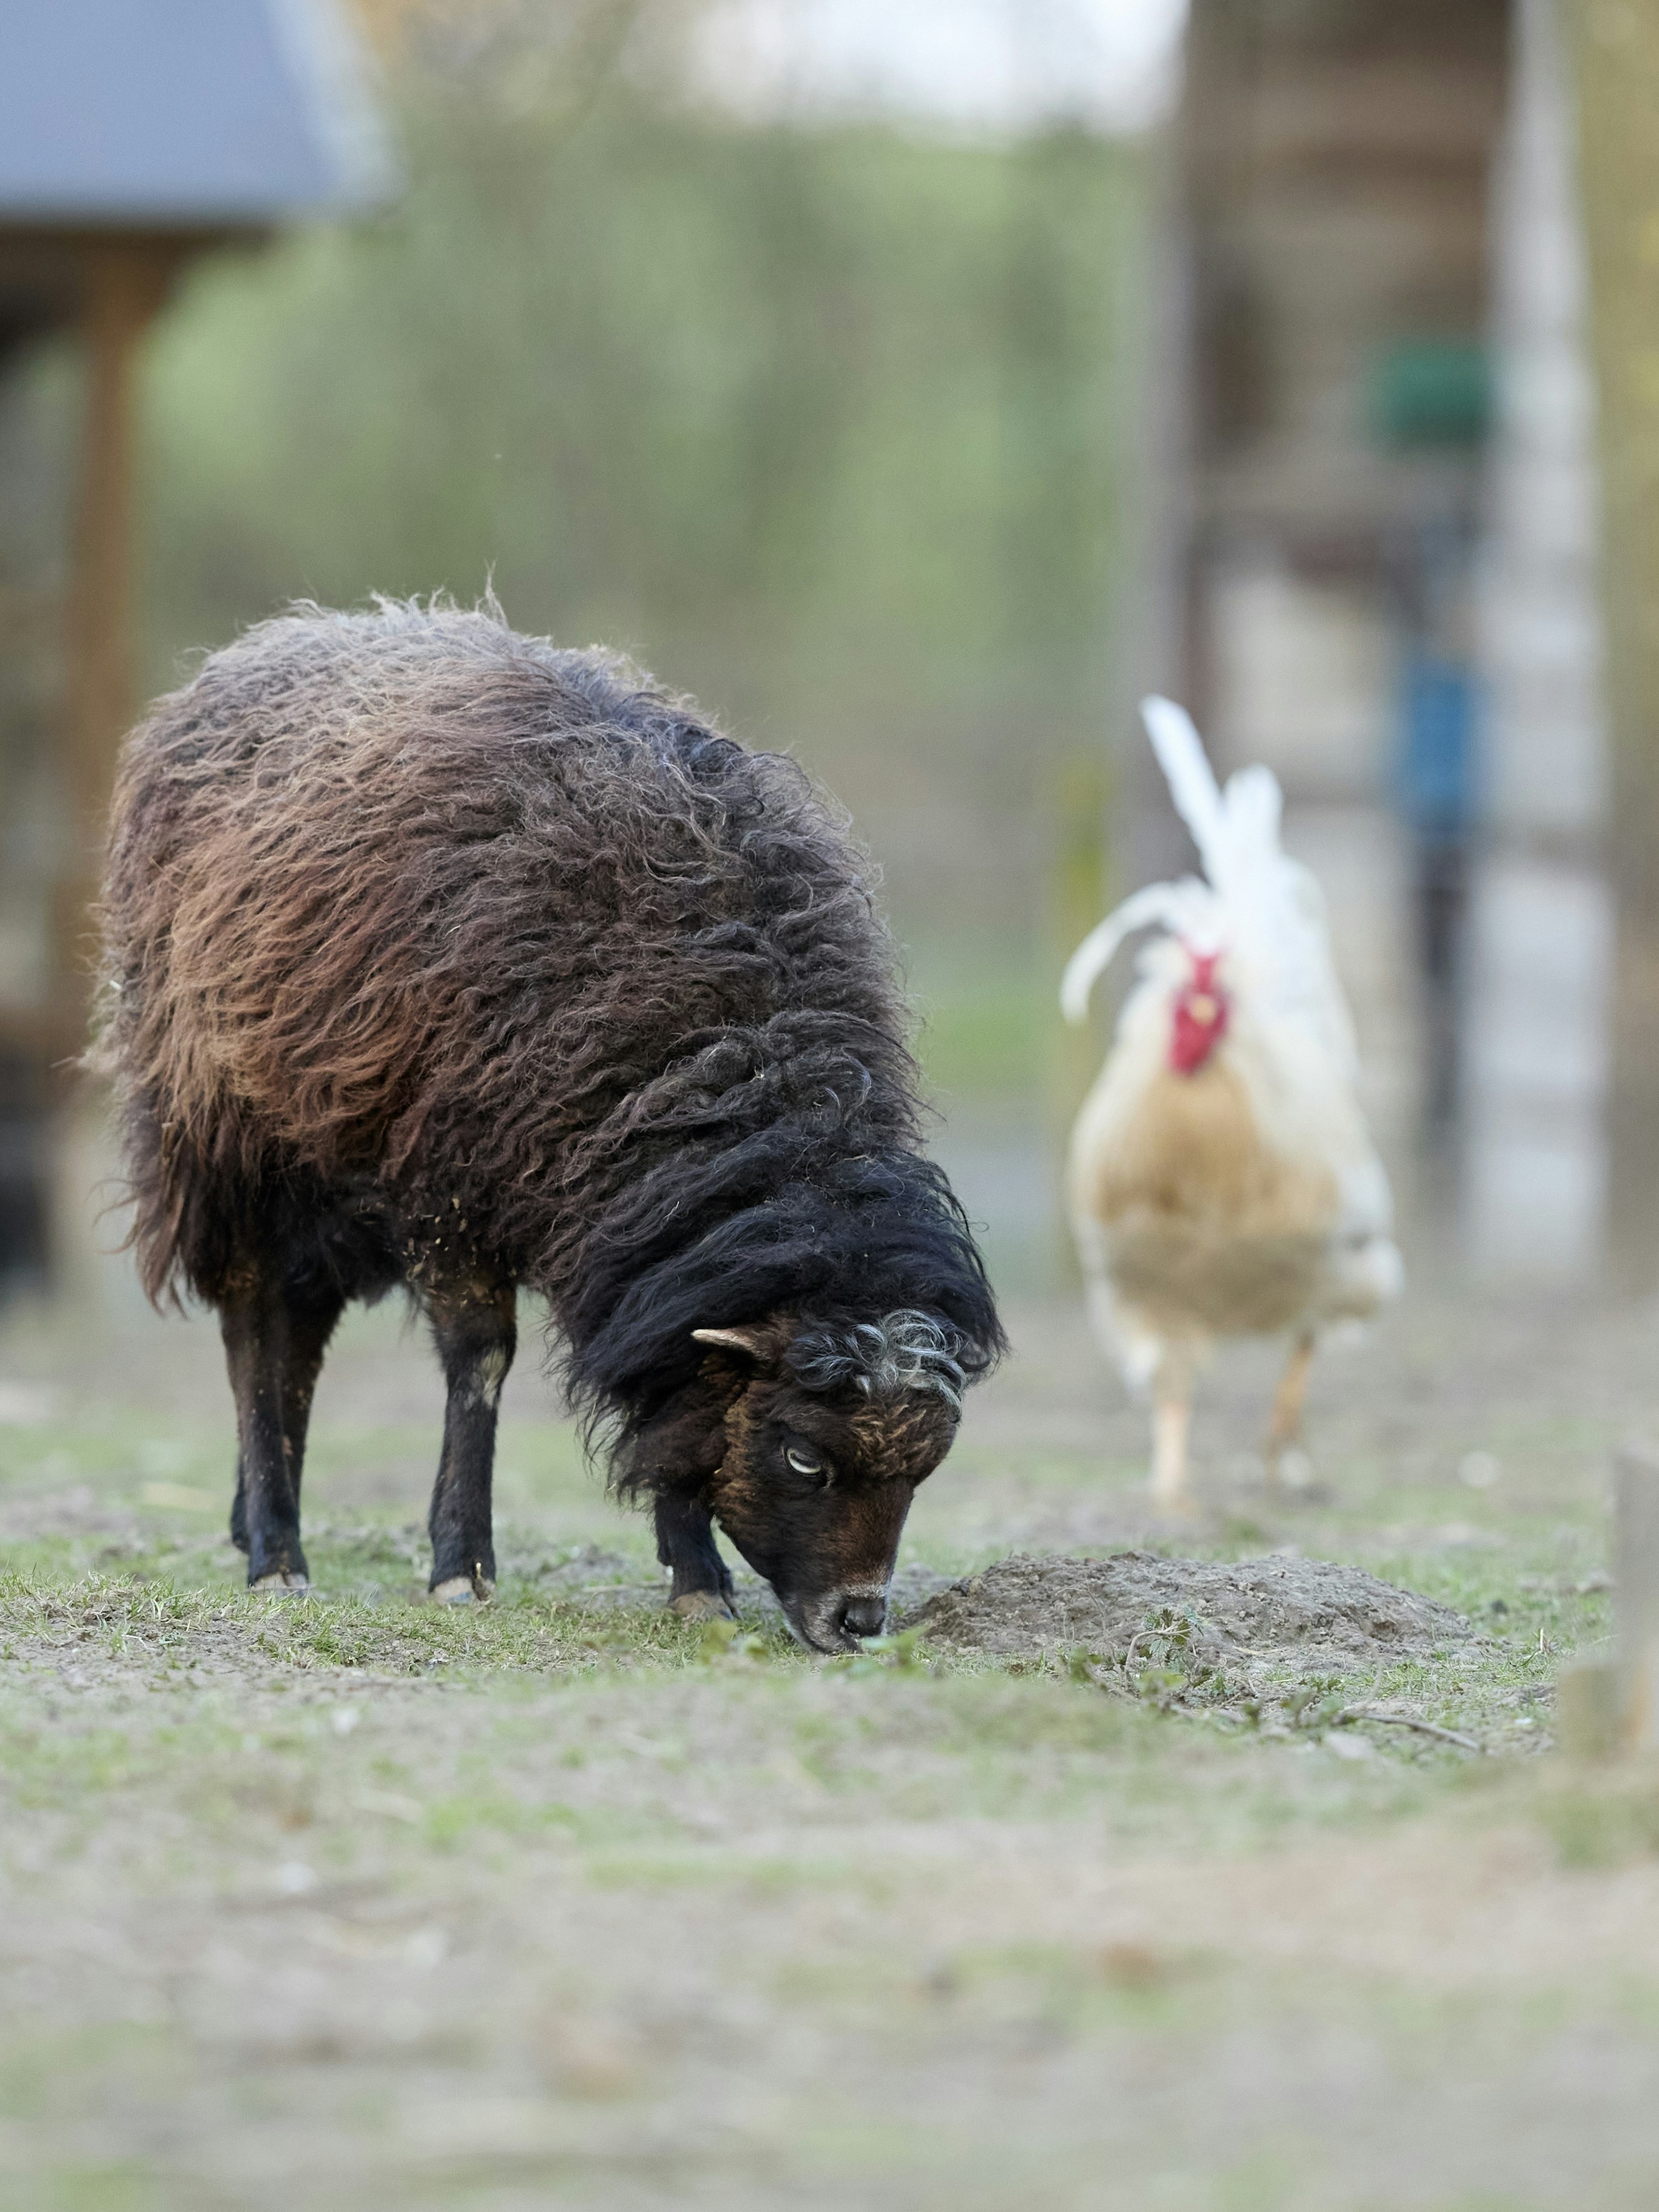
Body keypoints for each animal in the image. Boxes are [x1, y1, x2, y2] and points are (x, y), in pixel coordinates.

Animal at [95, 599, 1003, 1651]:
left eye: (925, 1469)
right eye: (803, 1457)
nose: (857, 1621)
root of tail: (284, 635)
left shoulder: (650, 1259)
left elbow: (675, 1407)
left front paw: (697, 1581)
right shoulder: (451, 1183)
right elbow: (482, 1365)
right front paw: (460, 1568)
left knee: (299, 1342)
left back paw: (252, 1522)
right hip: (230, 1144)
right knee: (257, 1336)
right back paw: (278, 1555)